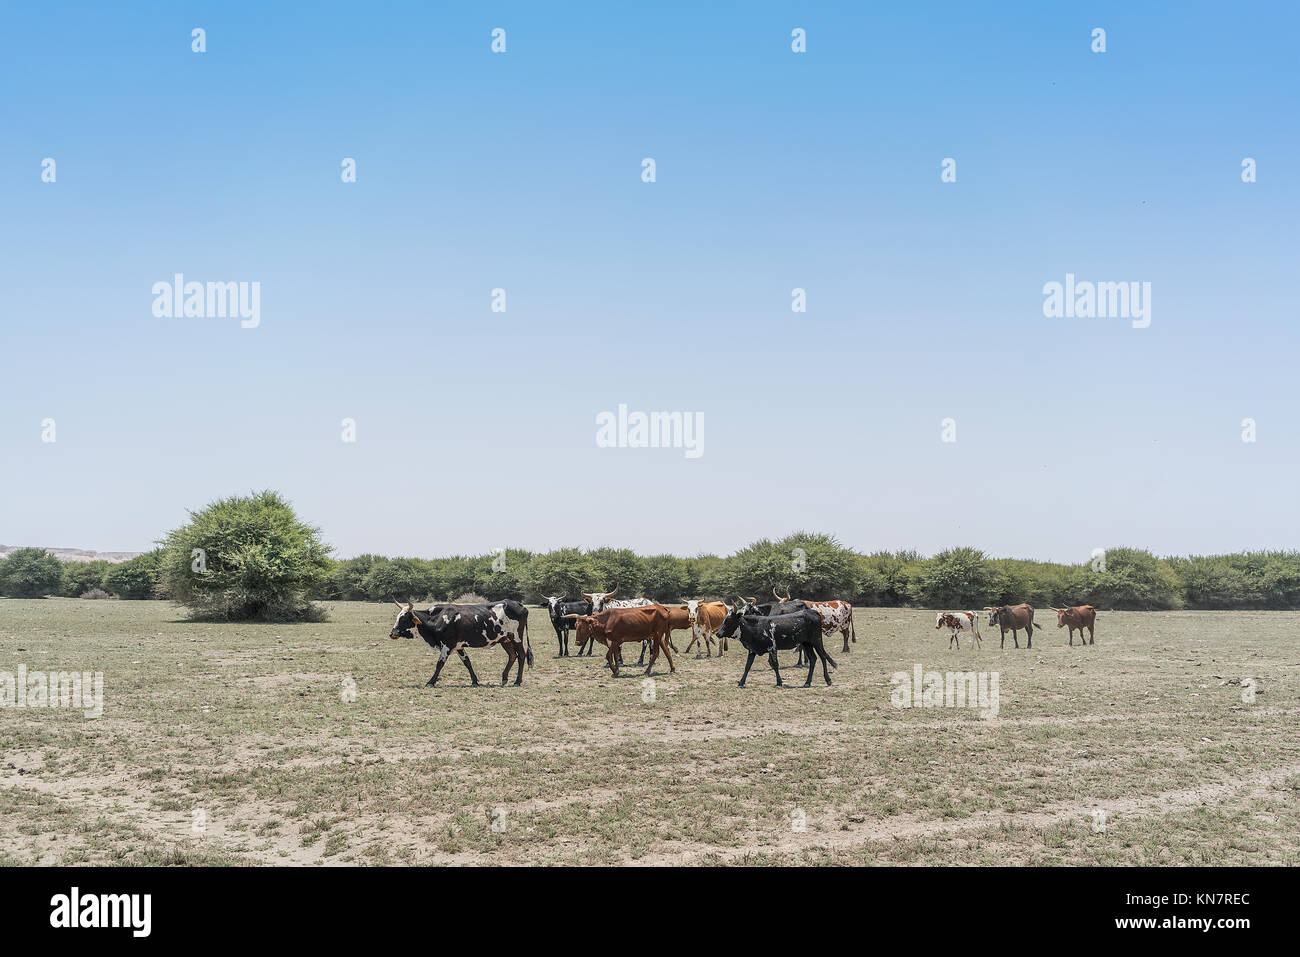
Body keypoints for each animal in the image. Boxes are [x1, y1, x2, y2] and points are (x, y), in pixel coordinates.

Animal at [389, 600, 533, 686]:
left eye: (404, 619)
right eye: (397, 617)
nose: (392, 633)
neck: (437, 618)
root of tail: (519, 605)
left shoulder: (447, 645)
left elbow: (439, 664)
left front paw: (431, 682)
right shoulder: (458, 646)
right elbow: (467, 662)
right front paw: (474, 681)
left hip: (517, 638)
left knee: (521, 656)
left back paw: (517, 681)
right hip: (505, 640)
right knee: (512, 656)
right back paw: (504, 678)